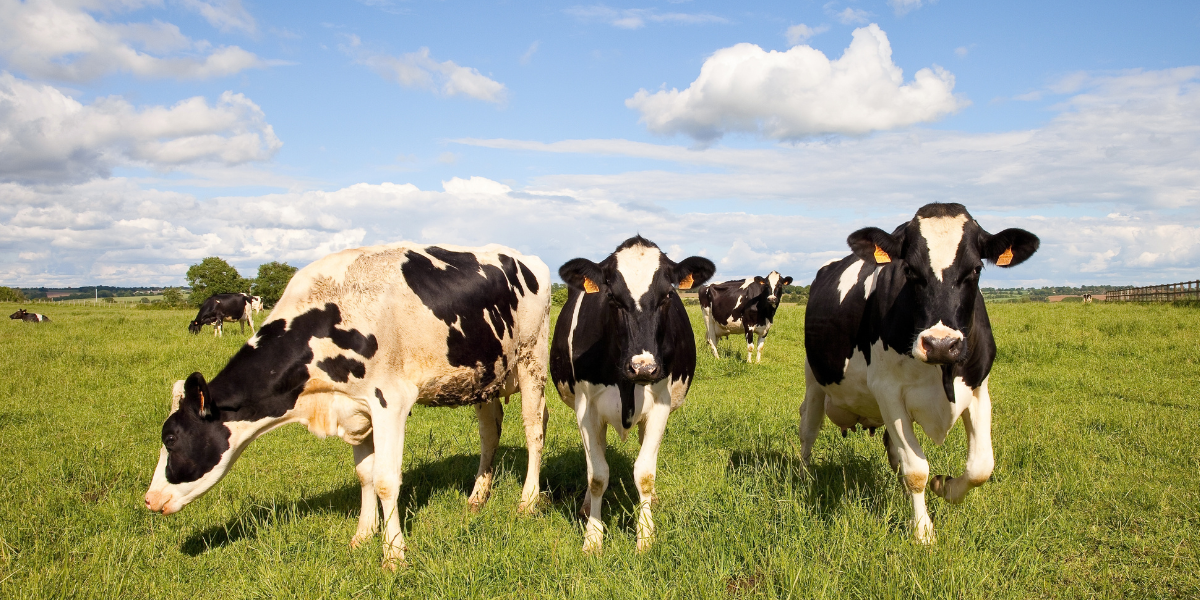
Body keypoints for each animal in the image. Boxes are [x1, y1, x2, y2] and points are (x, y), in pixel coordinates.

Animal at [145, 243, 552, 570]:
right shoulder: (354, 410)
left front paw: (393, 555)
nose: (150, 500)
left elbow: (386, 480)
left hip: (531, 360)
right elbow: (365, 475)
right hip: (485, 376)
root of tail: (527, 258)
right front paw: (363, 535)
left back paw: (528, 501)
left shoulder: (389, 401)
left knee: (534, 431)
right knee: (489, 434)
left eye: (170, 438)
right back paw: (476, 498)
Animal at [550, 236, 715, 554]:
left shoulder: (661, 405)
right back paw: (587, 507)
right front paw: (593, 538)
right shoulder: (586, 409)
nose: (644, 366)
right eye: (612, 297)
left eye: (667, 296)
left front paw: (645, 536)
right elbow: (597, 475)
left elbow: (645, 474)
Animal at [800, 203, 1038, 543]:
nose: (941, 344)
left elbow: (981, 466)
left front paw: (945, 487)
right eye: (910, 270)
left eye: (976, 269)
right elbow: (916, 469)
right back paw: (805, 475)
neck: (943, 370)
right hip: (815, 379)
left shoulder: (978, 388)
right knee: (808, 428)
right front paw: (923, 532)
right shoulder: (887, 391)